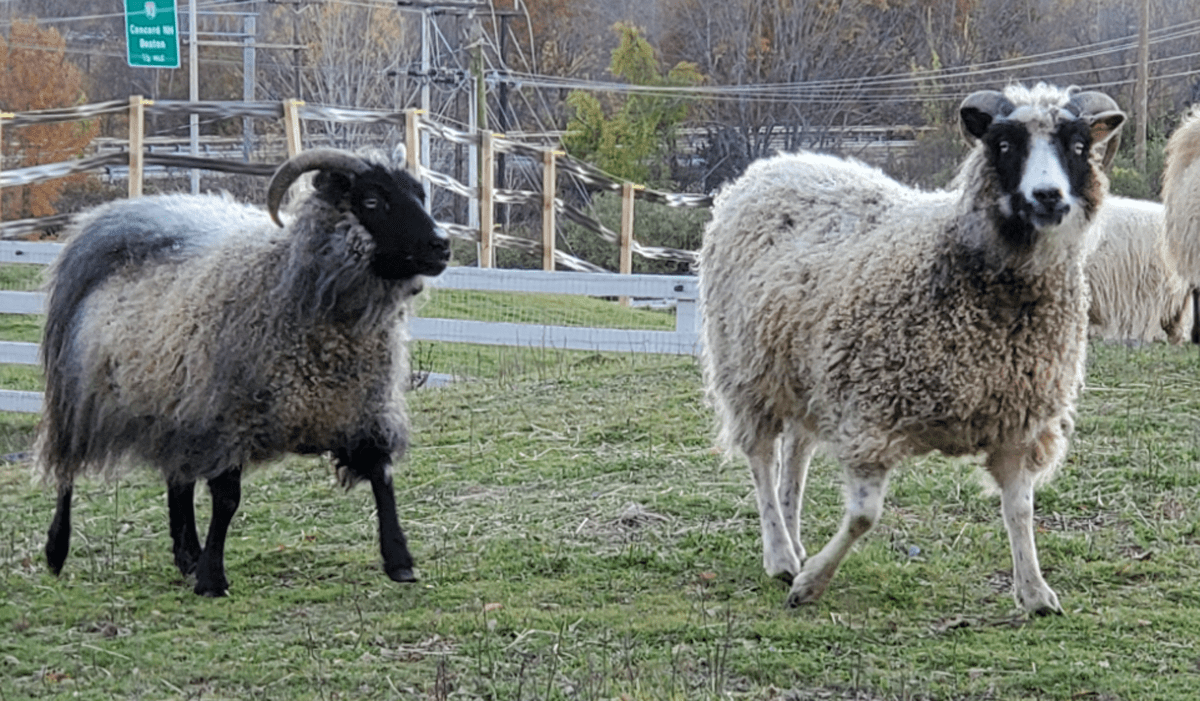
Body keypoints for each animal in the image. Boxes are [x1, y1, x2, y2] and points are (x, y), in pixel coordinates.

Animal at [35, 148, 450, 596]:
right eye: (372, 201)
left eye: (419, 195)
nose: (442, 245)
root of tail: (102, 215)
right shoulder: (230, 417)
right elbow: (227, 499)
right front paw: (213, 578)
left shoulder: (361, 408)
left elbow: (381, 476)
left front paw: (400, 560)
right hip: (78, 395)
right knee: (65, 473)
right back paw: (57, 551)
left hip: (177, 402)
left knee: (178, 480)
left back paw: (187, 555)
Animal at [698, 84, 1125, 616]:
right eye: (1004, 145)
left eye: (1080, 147)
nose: (1047, 196)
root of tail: (777, 163)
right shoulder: (872, 412)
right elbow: (864, 516)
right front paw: (812, 583)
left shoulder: (1018, 423)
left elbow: (1021, 510)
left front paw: (1034, 591)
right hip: (747, 368)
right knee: (762, 460)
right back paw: (780, 555)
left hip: (807, 373)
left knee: (796, 456)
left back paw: (795, 545)